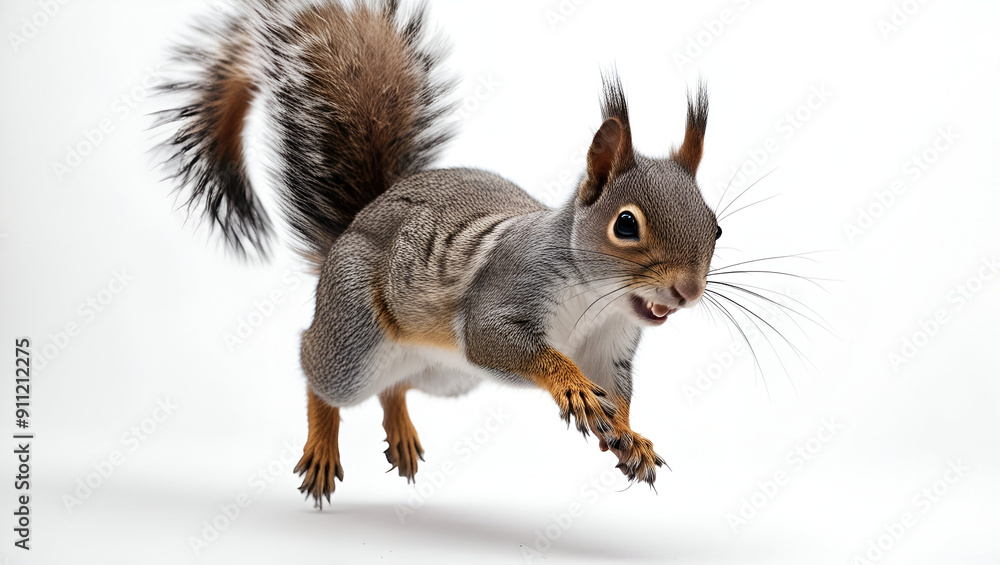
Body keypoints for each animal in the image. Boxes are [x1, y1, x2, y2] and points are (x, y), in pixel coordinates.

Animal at [156, 0, 719, 508]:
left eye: (715, 227)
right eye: (625, 224)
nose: (688, 292)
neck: (596, 298)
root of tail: (353, 226)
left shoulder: (611, 346)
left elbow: (617, 394)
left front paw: (630, 437)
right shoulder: (504, 293)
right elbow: (511, 344)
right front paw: (573, 389)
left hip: (447, 376)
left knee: (396, 386)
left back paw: (401, 431)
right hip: (354, 334)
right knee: (317, 369)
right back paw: (321, 443)